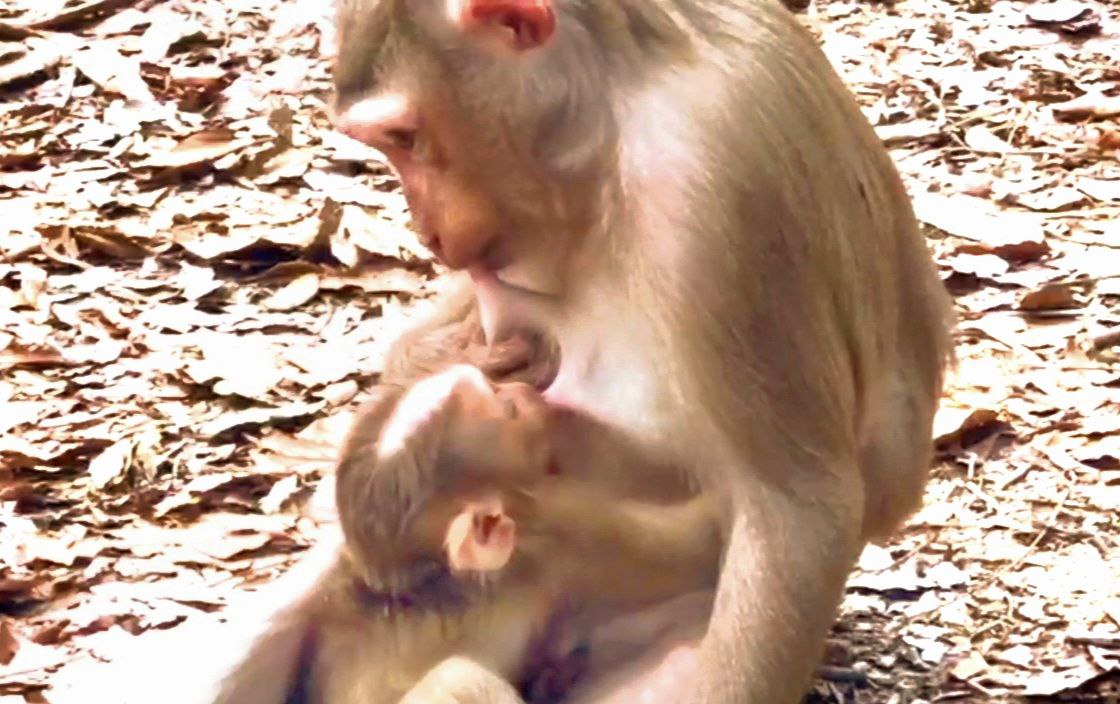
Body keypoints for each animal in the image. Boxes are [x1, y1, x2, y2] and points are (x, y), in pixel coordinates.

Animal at [208, 364, 721, 704]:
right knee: (456, 680)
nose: (522, 386)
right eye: (509, 408)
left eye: (500, 389)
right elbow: (698, 545)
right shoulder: (564, 533)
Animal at [330, 2, 955, 703]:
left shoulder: (711, 184)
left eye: (404, 137)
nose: (428, 231)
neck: (619, 105)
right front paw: (452, 356)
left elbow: (797, 510)